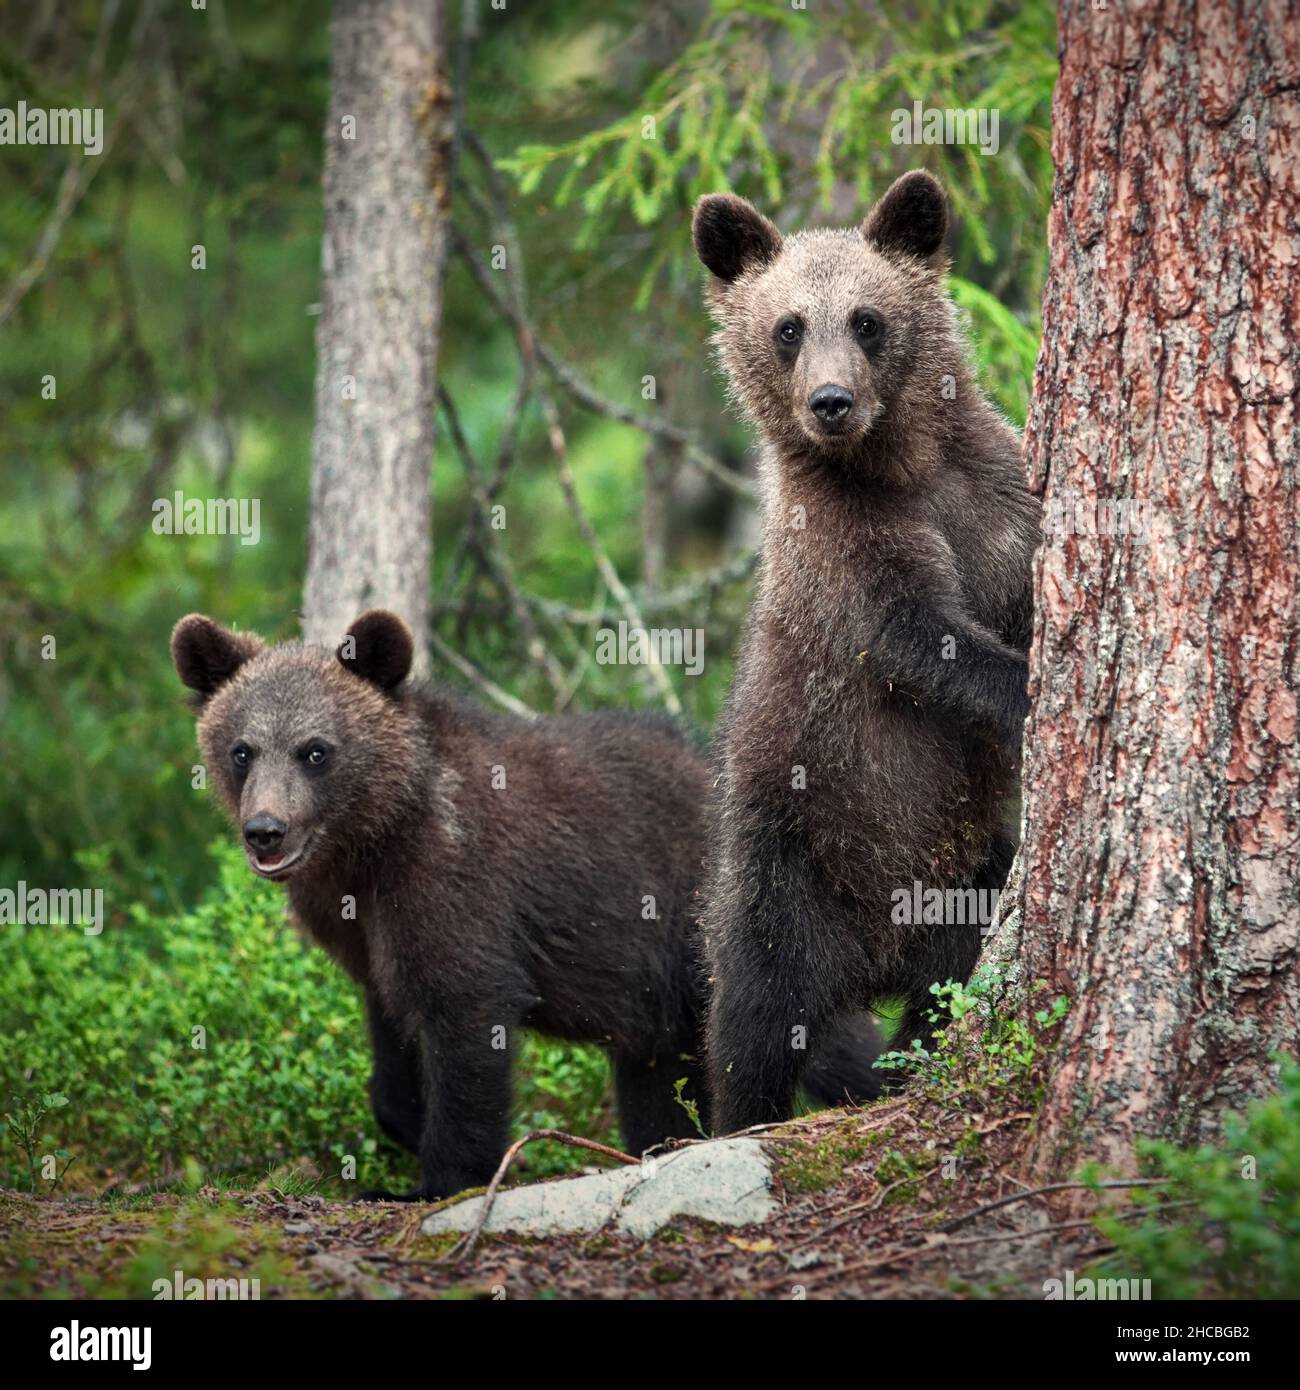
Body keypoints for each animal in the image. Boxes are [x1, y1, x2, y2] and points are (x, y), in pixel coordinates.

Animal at [171, 609, 883, 1200]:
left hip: (730, 916)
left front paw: (437, 1179)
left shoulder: (457, 886)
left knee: (806, 1025)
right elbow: (392, 1030)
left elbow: (467, 1021)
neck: (371, 845)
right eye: (241, 750)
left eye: (315, 750)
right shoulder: (366, 935)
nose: (265, 831)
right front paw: (401, 1121)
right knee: (660, 1077)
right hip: (660, 998)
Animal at [692, 170, 1040, 1133]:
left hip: (966, 871)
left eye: (868, 318)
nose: (831, 403)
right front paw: (1026, 692)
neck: (900, 465)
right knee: (752, 1016)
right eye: (787, 327)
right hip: (781, 862)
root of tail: (871, 961)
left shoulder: (996, 496)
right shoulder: (842, 552)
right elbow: (919, 639)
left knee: (947, 975)